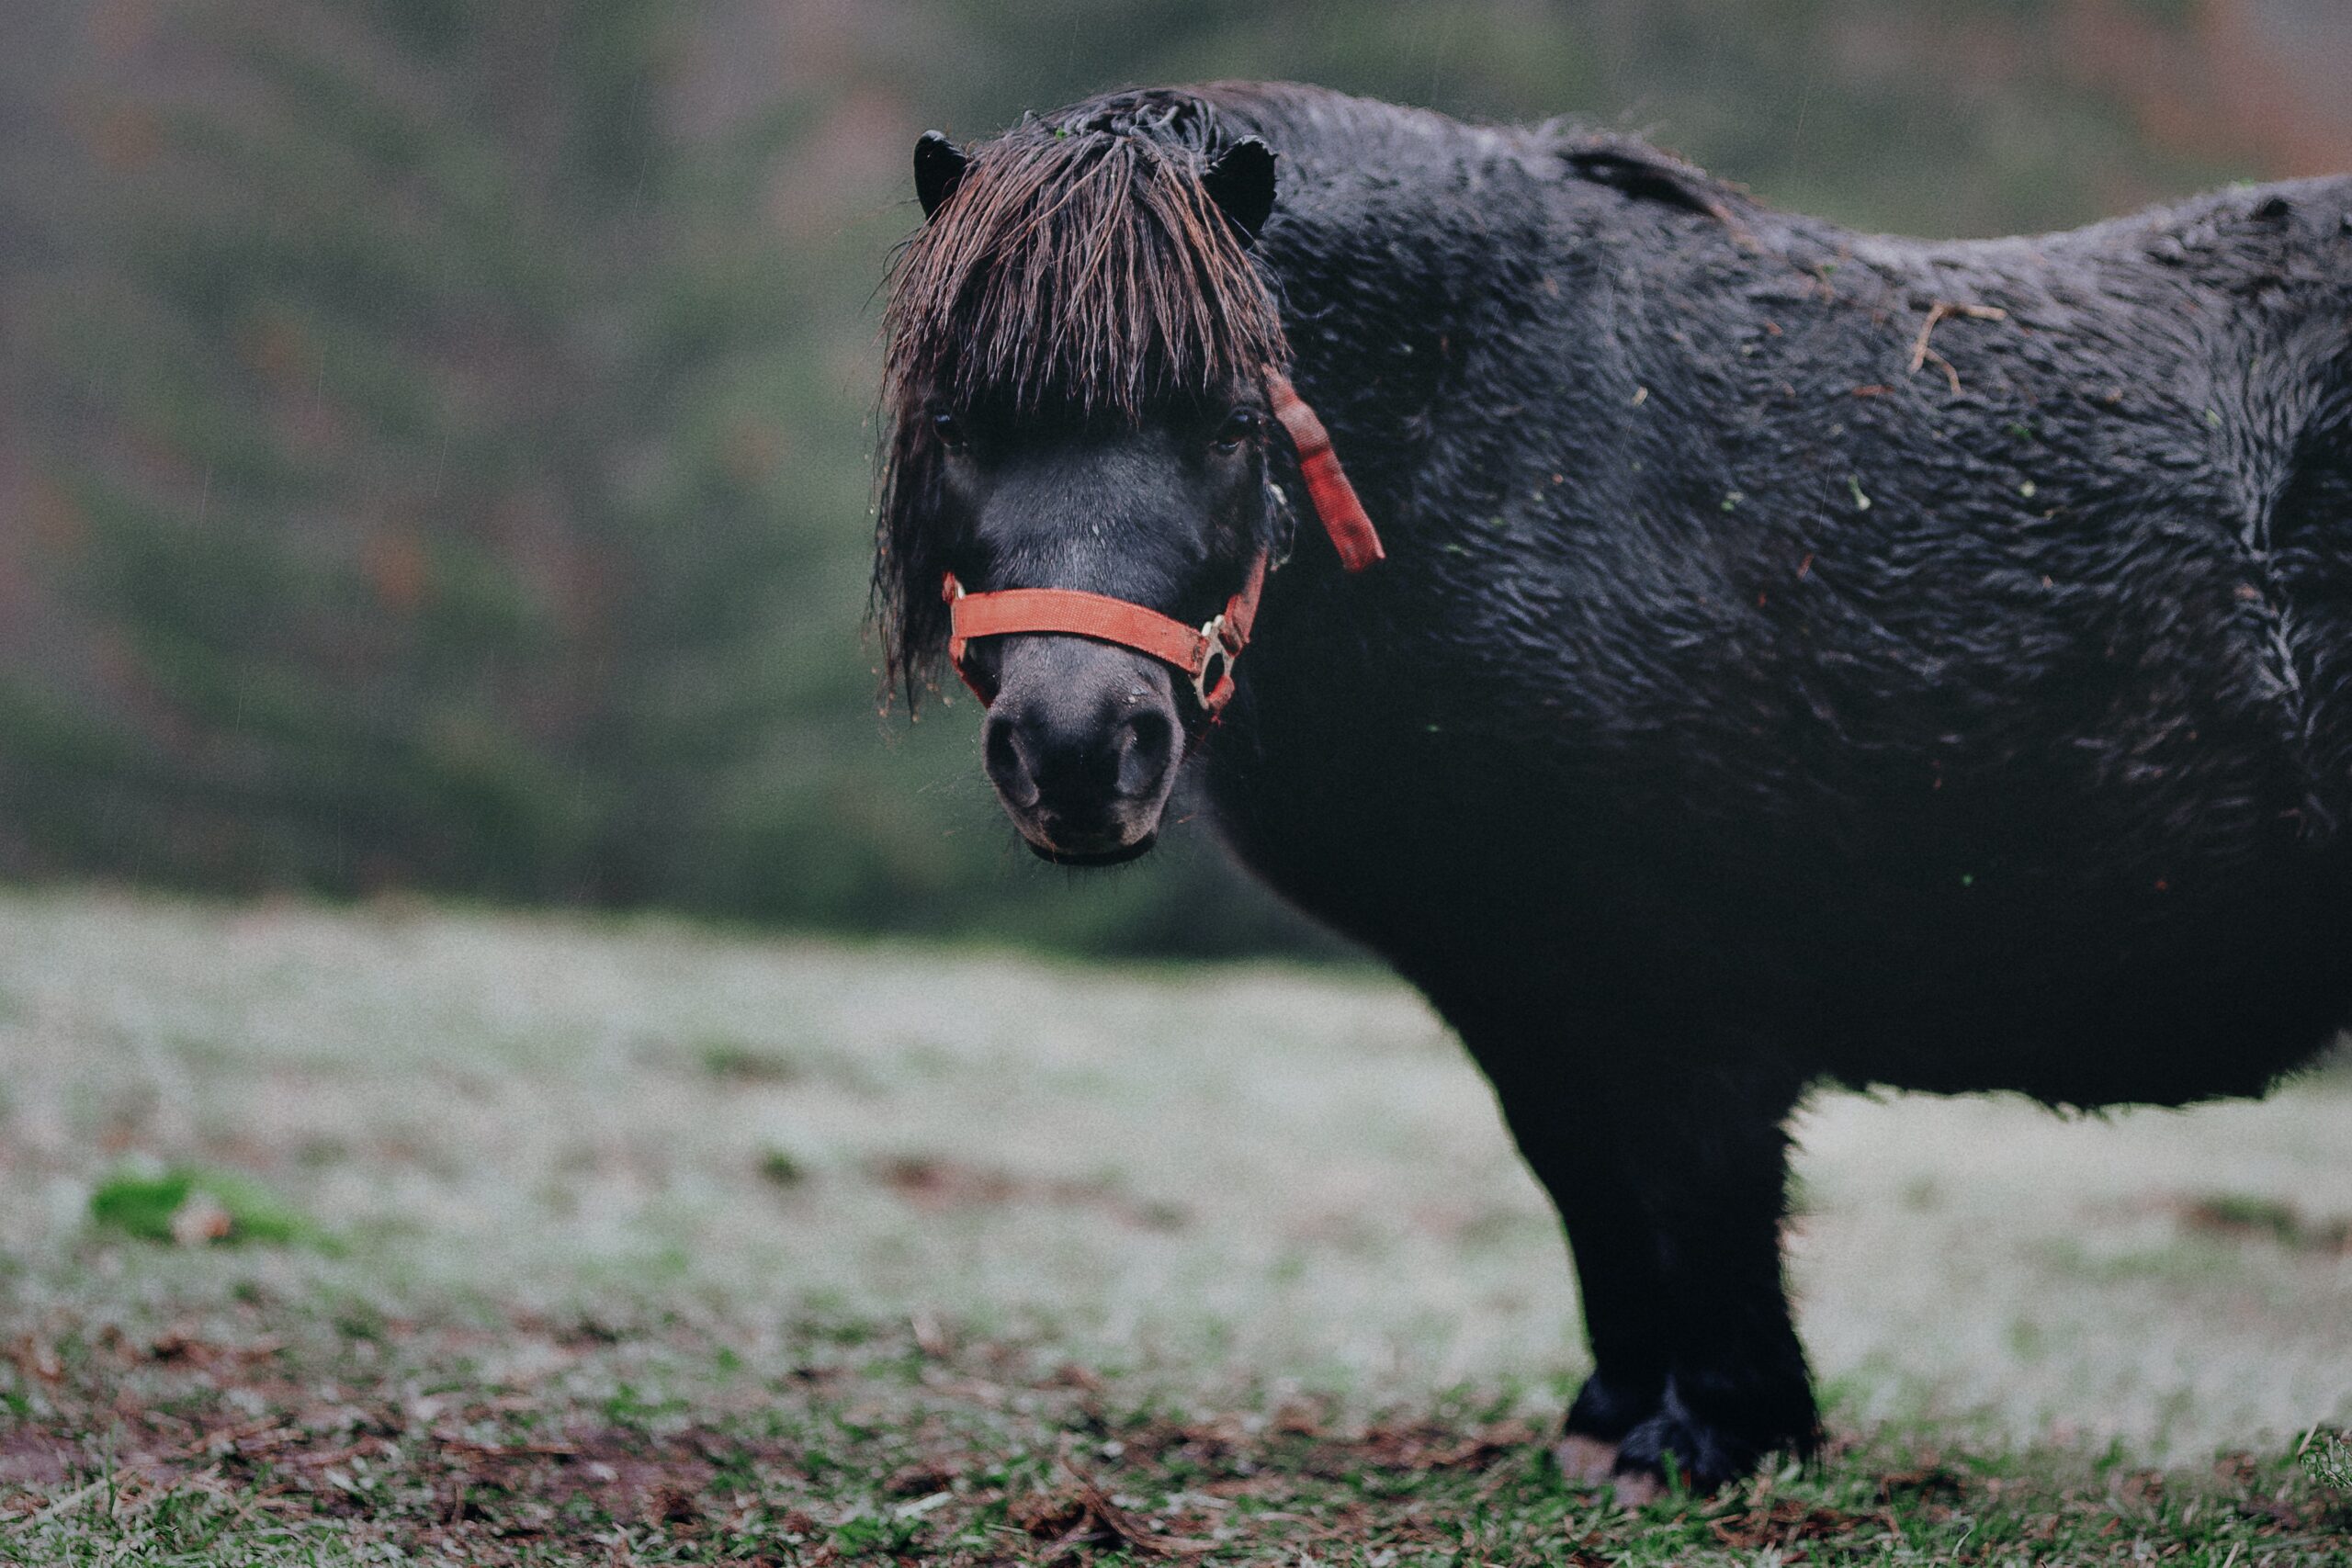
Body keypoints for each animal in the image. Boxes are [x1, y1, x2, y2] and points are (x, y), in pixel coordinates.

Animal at [872, 81, 2352, 1491]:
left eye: (1235, 423)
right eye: (955, 420)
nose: (1076, 748)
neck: (1512, 443)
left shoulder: (1697, 996)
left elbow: (1700, 1195)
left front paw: (1716, 1440)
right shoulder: (1527, 988)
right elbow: (1592, 1190)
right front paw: (1614, 1423)